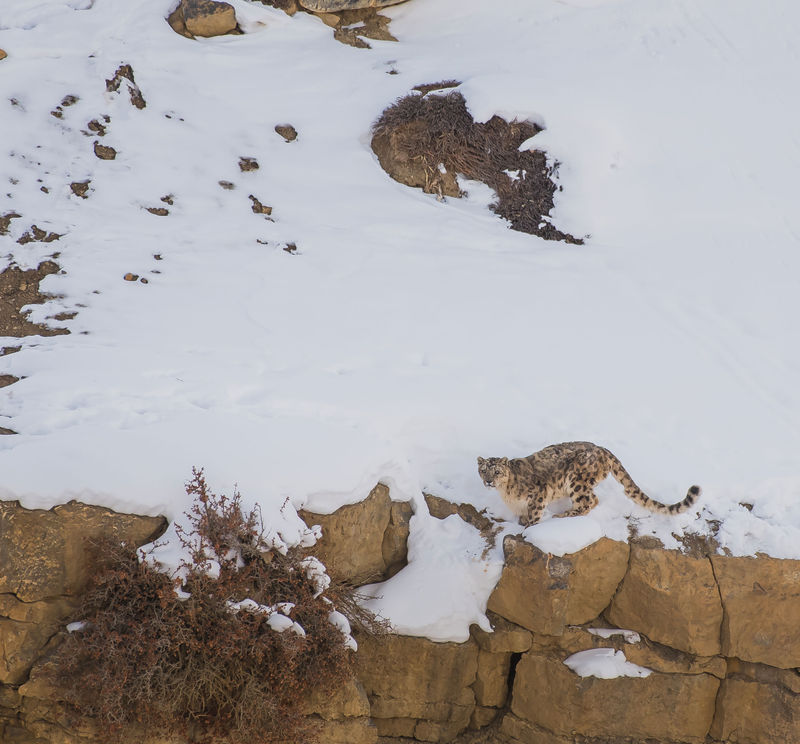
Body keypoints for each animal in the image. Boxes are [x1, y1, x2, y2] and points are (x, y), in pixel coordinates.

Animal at [477, 441, 700, 526]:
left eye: (497, 471)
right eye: (483, 470)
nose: (488, 481)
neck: (506, 494)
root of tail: (602, 448)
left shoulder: (538, 494)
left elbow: (534, 514)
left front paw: (529, 527)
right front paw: (522, 522)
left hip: (577, 481)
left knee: (588, 501)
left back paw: (563, 515)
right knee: (593, 500)